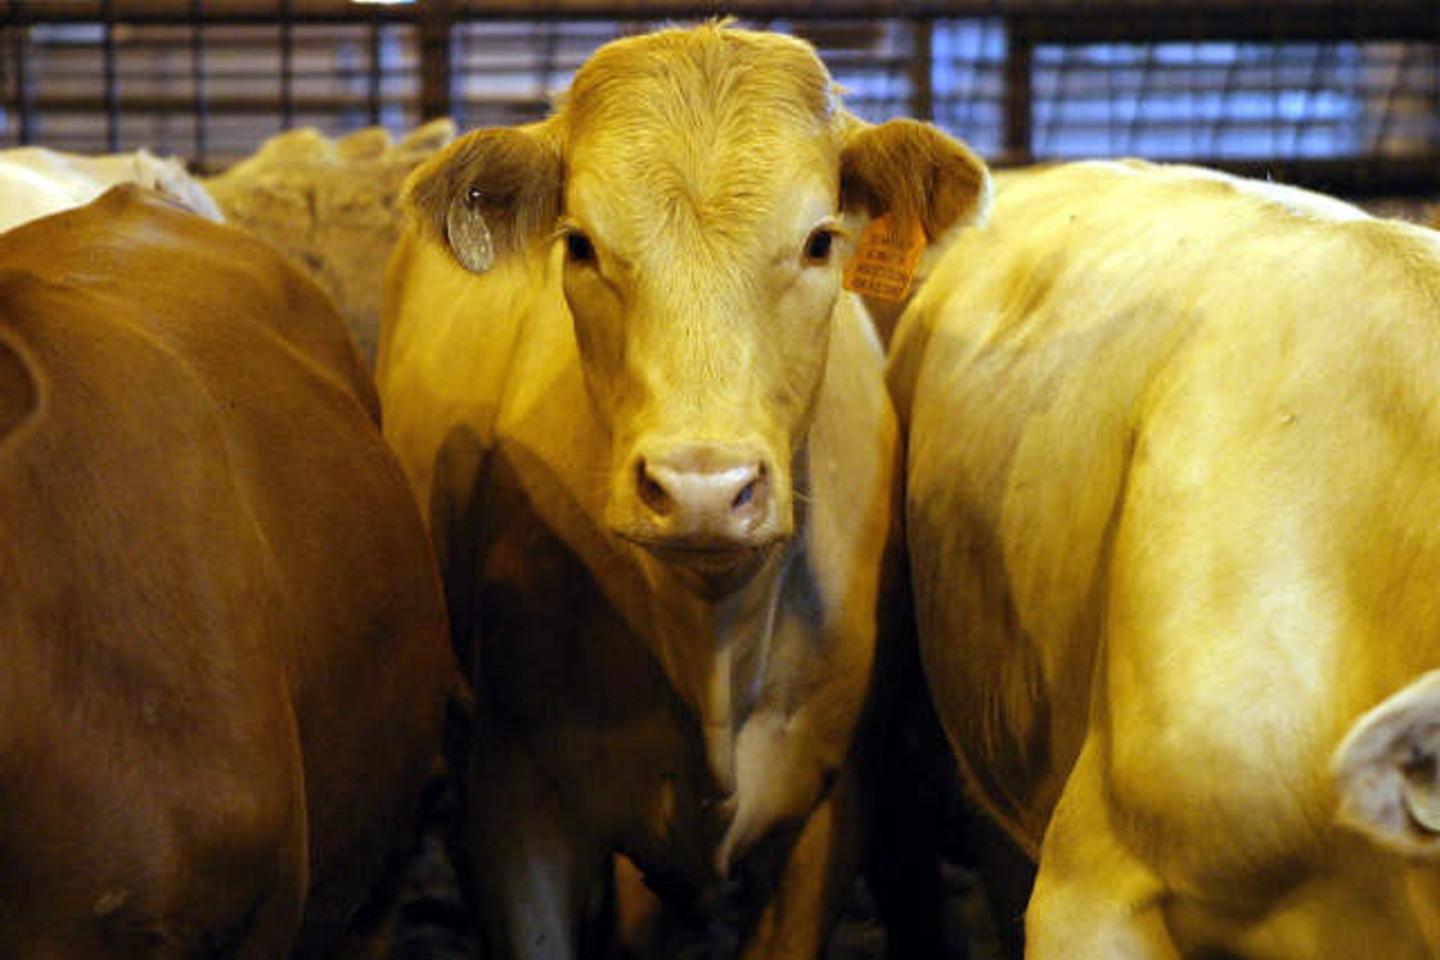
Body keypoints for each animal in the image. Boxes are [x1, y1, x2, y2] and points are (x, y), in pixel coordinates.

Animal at [377, 22, 988, 960]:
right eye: (580, 245)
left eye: (820, 241)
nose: (703, 489)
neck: (713, 641)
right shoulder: (518, 797)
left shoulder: (833, 801)